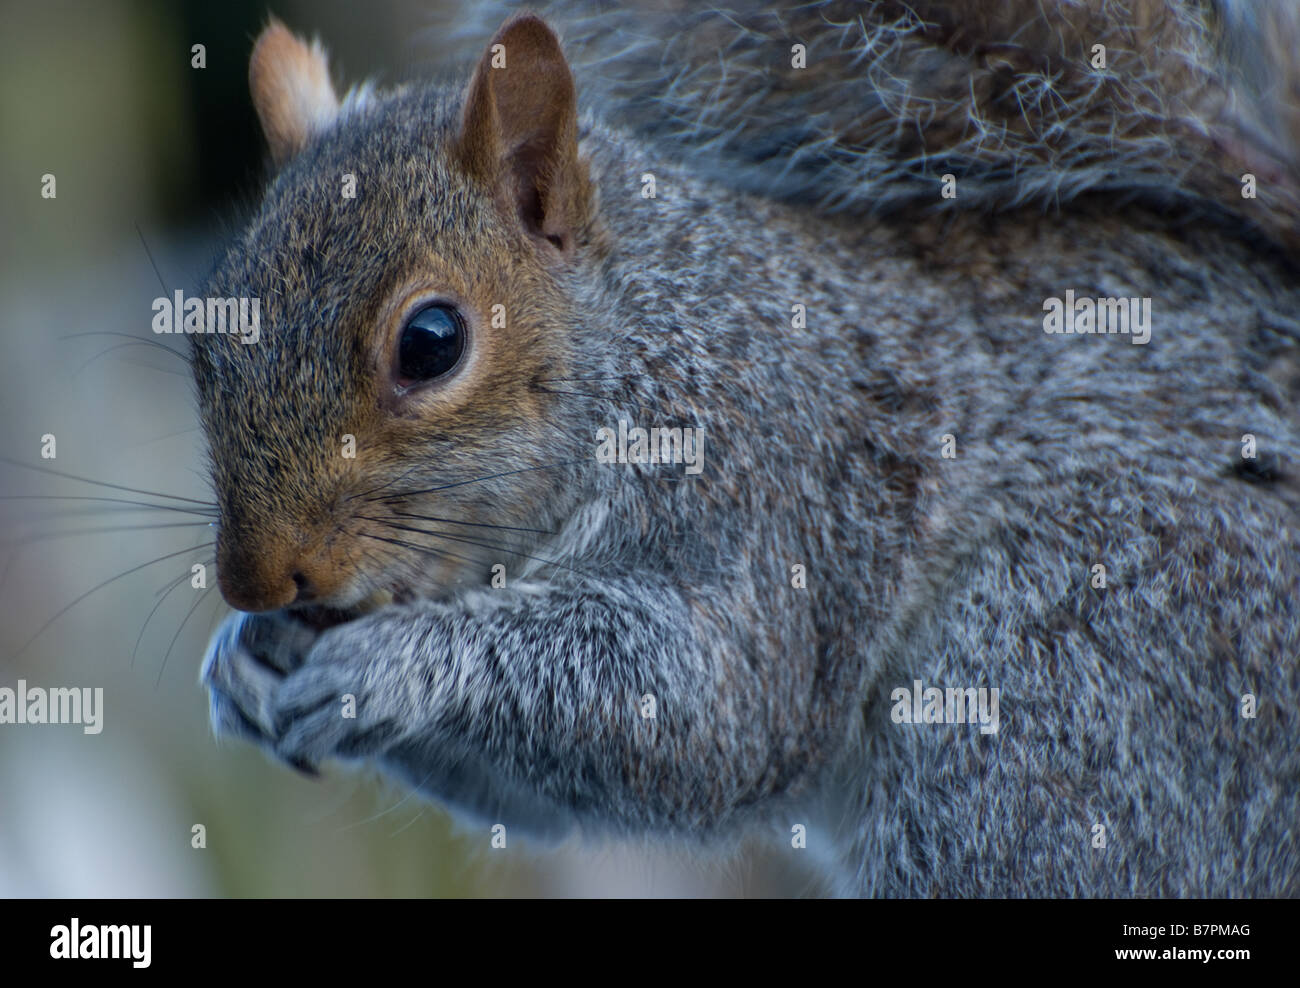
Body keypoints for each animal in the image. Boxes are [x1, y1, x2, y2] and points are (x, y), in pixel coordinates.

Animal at [198, 1, 1300, 896]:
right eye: (207, 338)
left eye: (431, 341)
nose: (256, 581)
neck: (648, 338)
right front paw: (244, 661)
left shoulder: (775, 482)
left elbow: (715, 714)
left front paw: (389, 663)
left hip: (1056, 674)